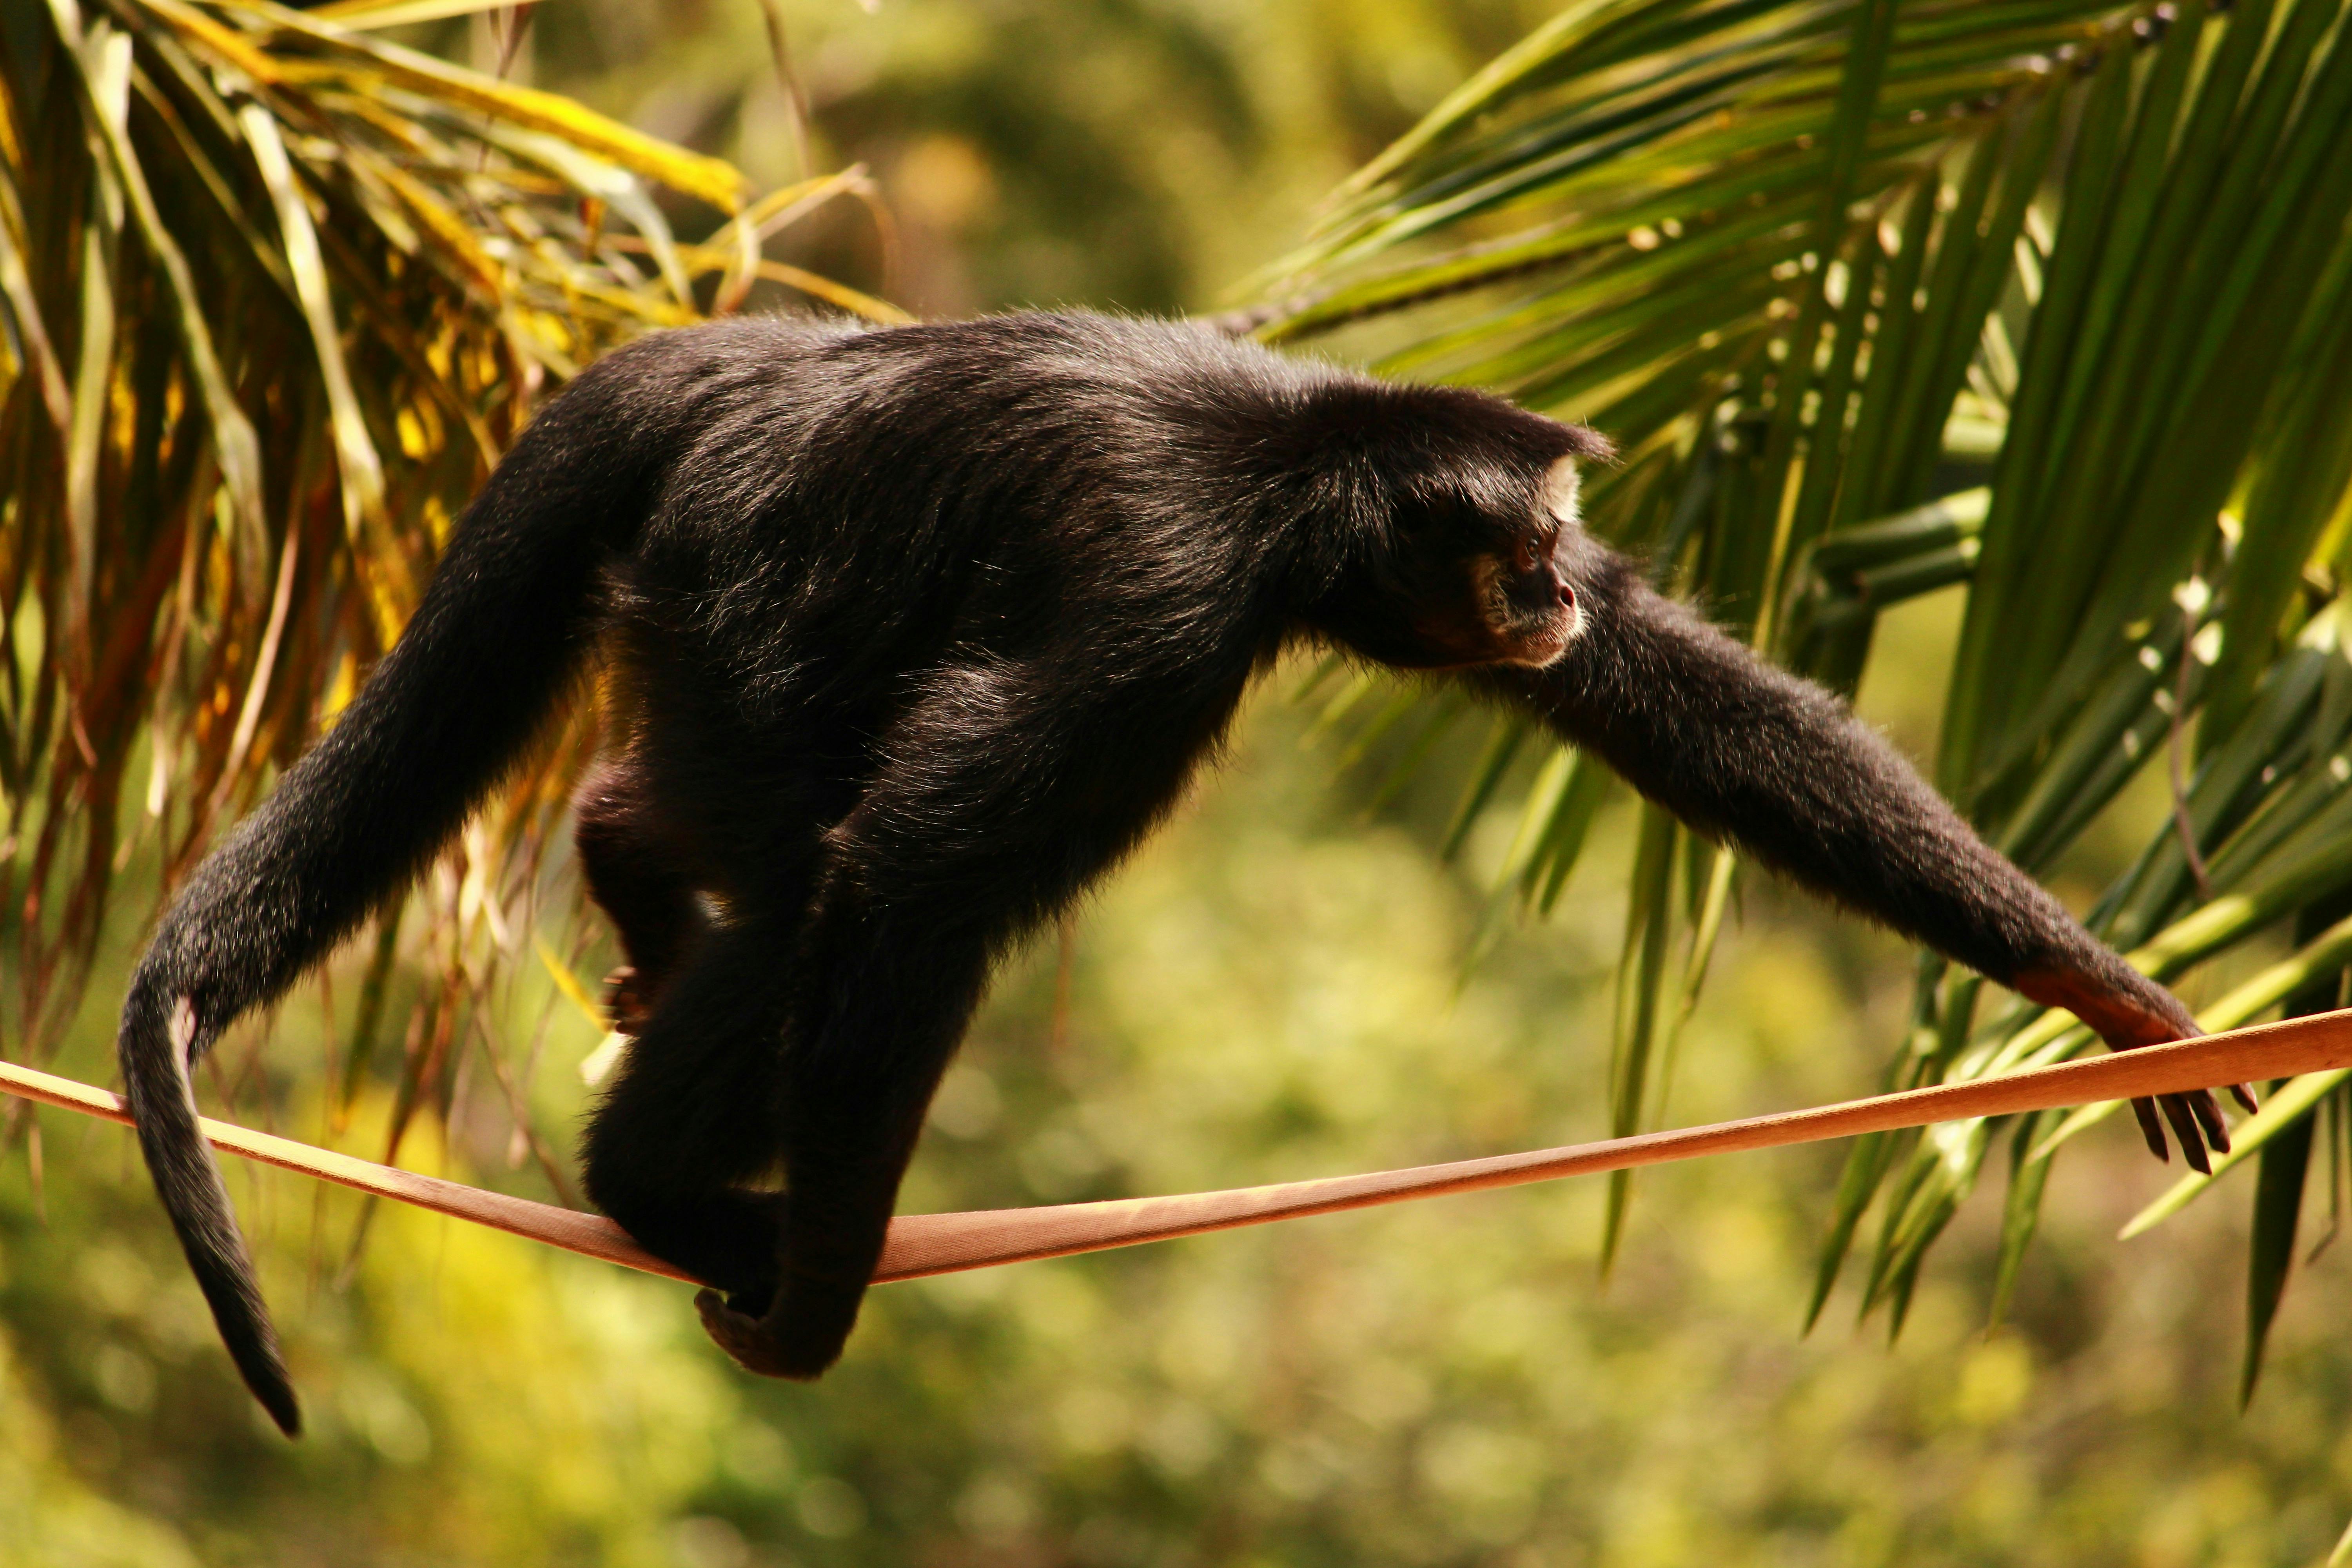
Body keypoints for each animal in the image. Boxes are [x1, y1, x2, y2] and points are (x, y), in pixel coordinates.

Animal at [117, 310, 2237, 1437]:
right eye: (1521, 551)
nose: (1553, 589)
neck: (1302, 459)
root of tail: (739, 371)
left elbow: (1676, 700)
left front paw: (2110, 996)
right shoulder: (1173, 590)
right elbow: (918, 866)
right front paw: (806, 1306)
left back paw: (632, 874)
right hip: (745, 603)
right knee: (833, 870)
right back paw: (660, 1179)